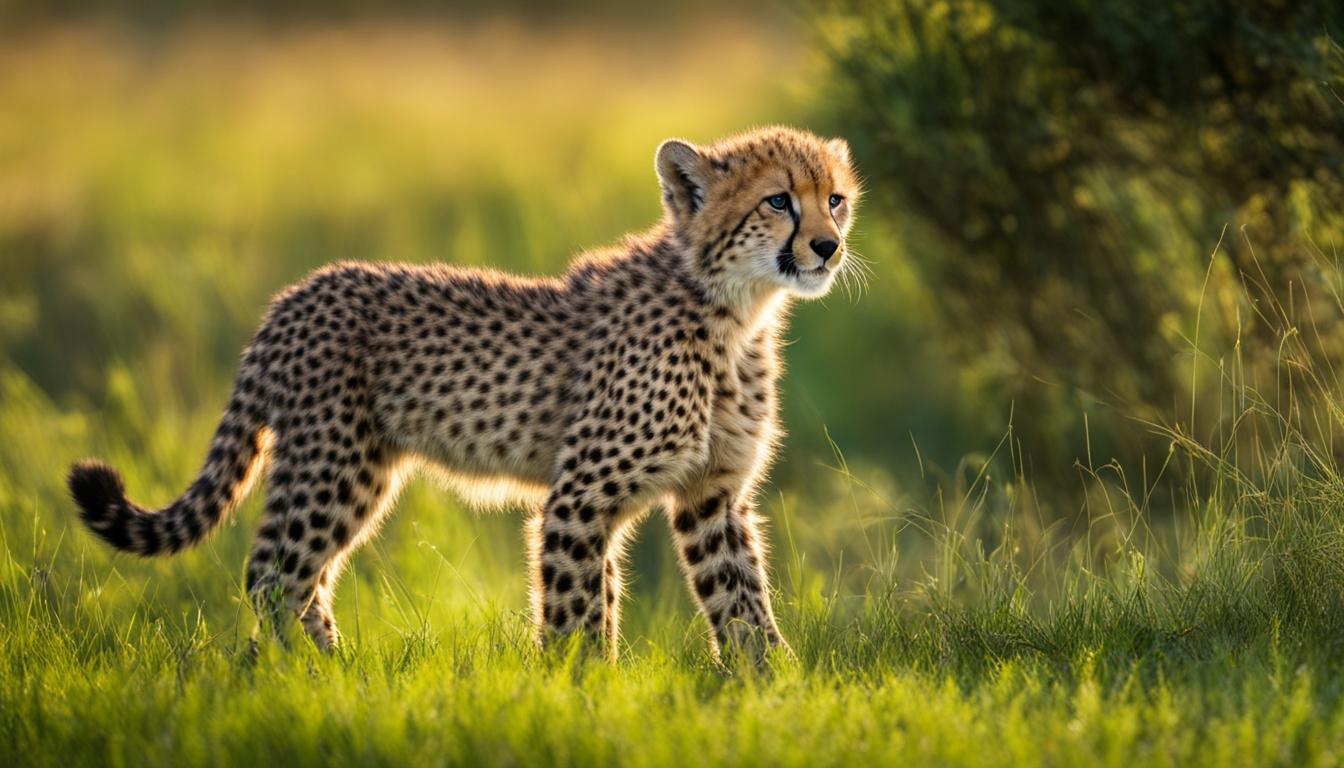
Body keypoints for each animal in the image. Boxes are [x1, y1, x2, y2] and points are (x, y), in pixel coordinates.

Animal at [68, 125, 861, 661]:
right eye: (779, 201)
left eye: (836, 200)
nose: (828, 247)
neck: (734, 310)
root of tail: (294, 295)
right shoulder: (579, 497)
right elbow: (575, 614)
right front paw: (578, 694)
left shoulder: (710, 495)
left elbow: (741, 601)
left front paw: (773, 689)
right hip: (331, 466)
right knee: (273, 575)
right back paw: (302, 680)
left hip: (360, 475)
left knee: (304, 580)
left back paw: (332, 672)